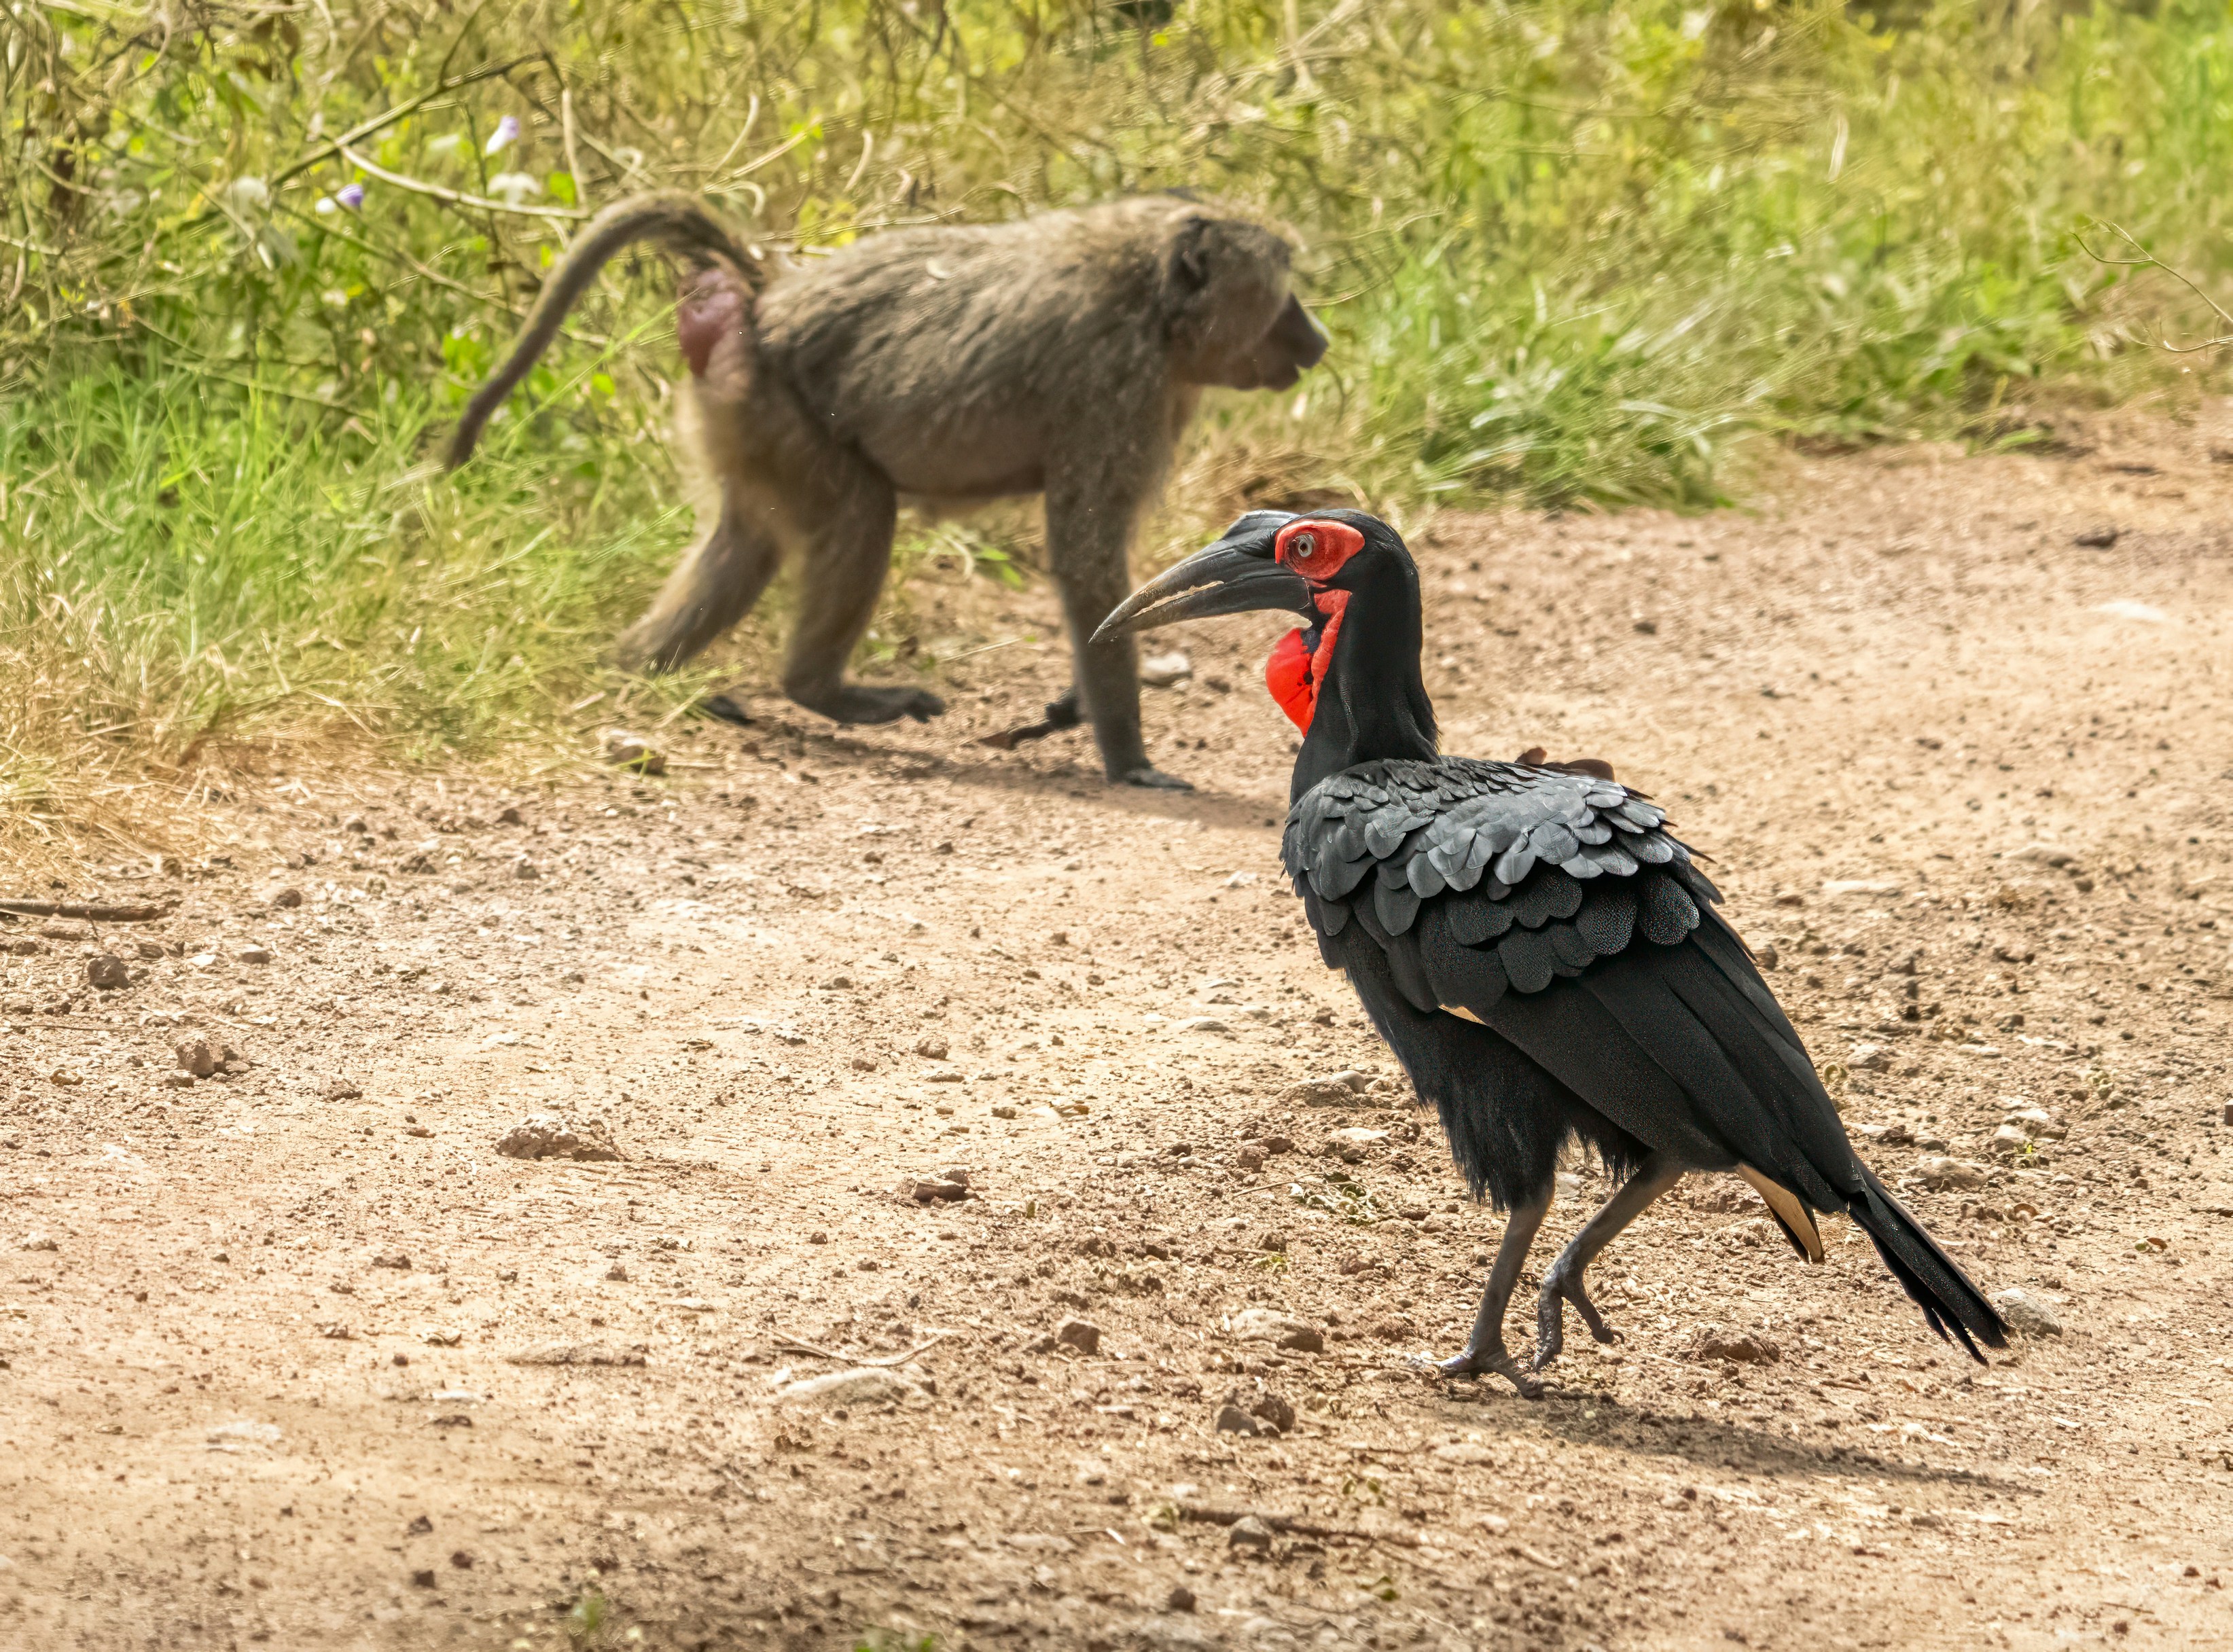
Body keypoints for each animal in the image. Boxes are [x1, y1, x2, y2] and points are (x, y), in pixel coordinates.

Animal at [447, 191, 1326, 789]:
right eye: (1281, 286)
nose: (1316, 339)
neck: (1149, 290)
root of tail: (763, 299)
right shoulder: (1118, 384)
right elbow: (1086, 559)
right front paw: (1130, 758)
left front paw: (1073, 710)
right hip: (782, 411)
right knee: (862, 513)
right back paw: (823, 691)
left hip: (746, 420)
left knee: (744, 545)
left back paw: (638, 668)